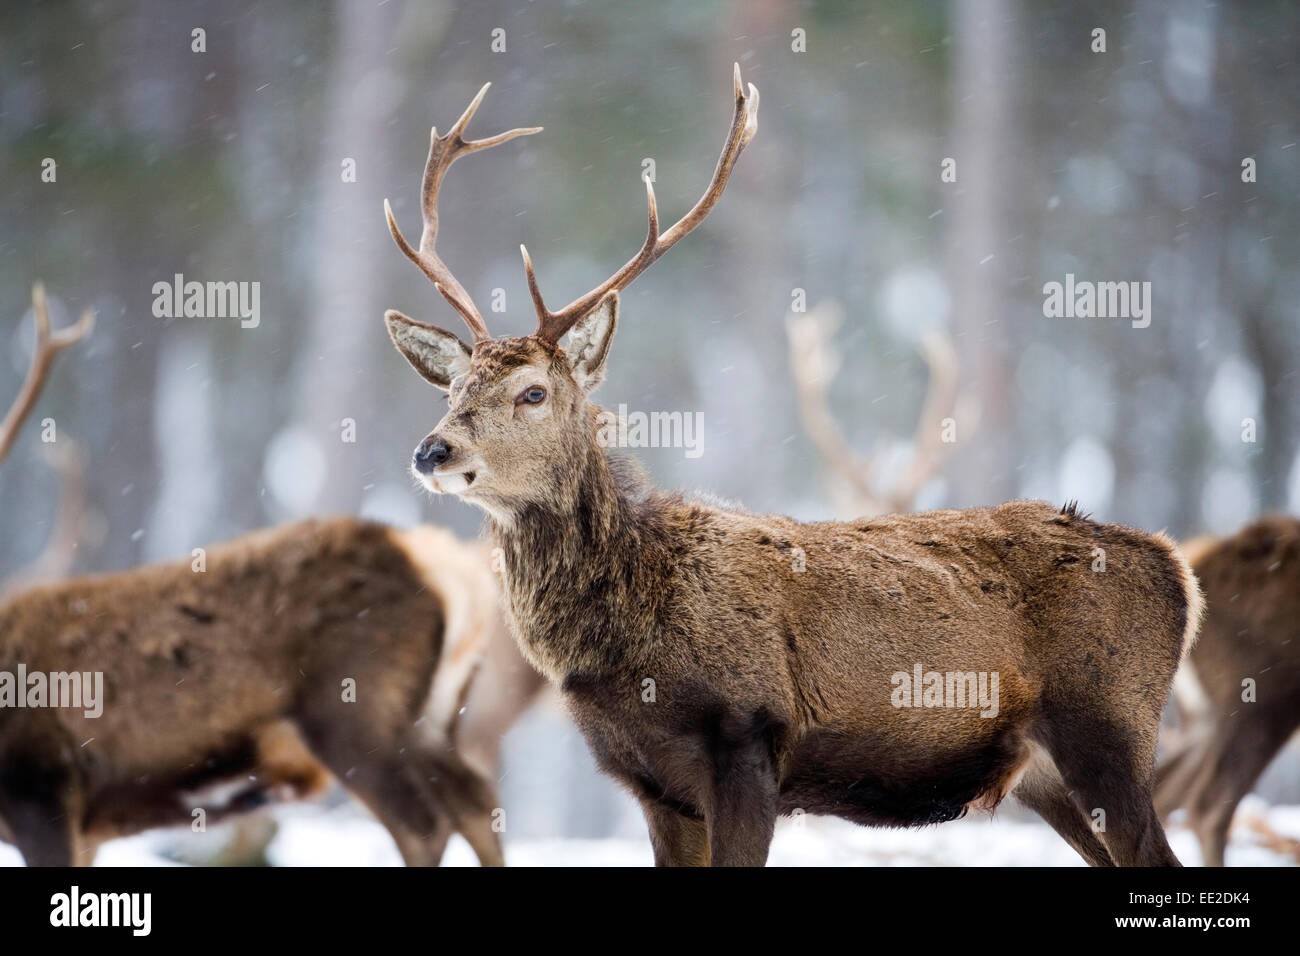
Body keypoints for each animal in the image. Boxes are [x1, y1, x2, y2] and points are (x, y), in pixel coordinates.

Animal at [0, 284, 543, 866]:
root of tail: (441, 564)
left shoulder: (41, 785)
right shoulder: (88, 824)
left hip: (355, 712)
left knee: (422, 823)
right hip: (436, 715)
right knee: (478, 801)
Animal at [381, 68, 1204, 866]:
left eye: (534, 391)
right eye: (453, 389)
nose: (432, 451)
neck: (628, 642)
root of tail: (1179, 572)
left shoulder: (748, 739)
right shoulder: (651, 785)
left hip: (1108, 727)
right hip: (1046, 775)